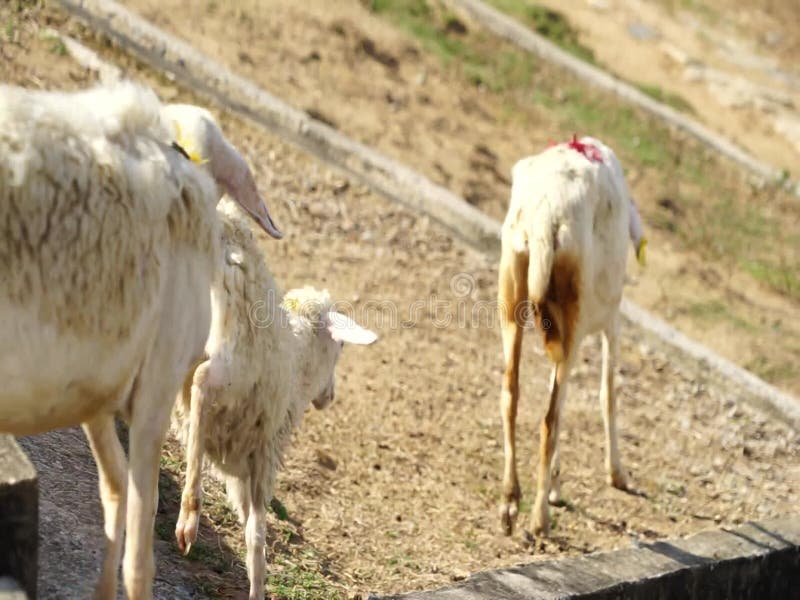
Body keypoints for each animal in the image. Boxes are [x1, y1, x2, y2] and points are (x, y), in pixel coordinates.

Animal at [171, 198, 377, 600]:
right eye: (341, 346)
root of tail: (227, 229)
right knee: (202, 382)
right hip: (233, 362)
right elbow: (256, 537)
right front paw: (257, 587)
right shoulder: (261, 458)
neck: (300, 364)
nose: (330, 396)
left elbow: (253, 531)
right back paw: (189, 513)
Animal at [497, 136, 640, 537]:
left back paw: (510, 503)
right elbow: (608, 393)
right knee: (550, 417)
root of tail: (546, 217)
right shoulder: (611, 321)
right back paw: (539, 519)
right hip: (573, 316)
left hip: (512, 291)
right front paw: (617, 474)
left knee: (511, 393)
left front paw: (556, 486)